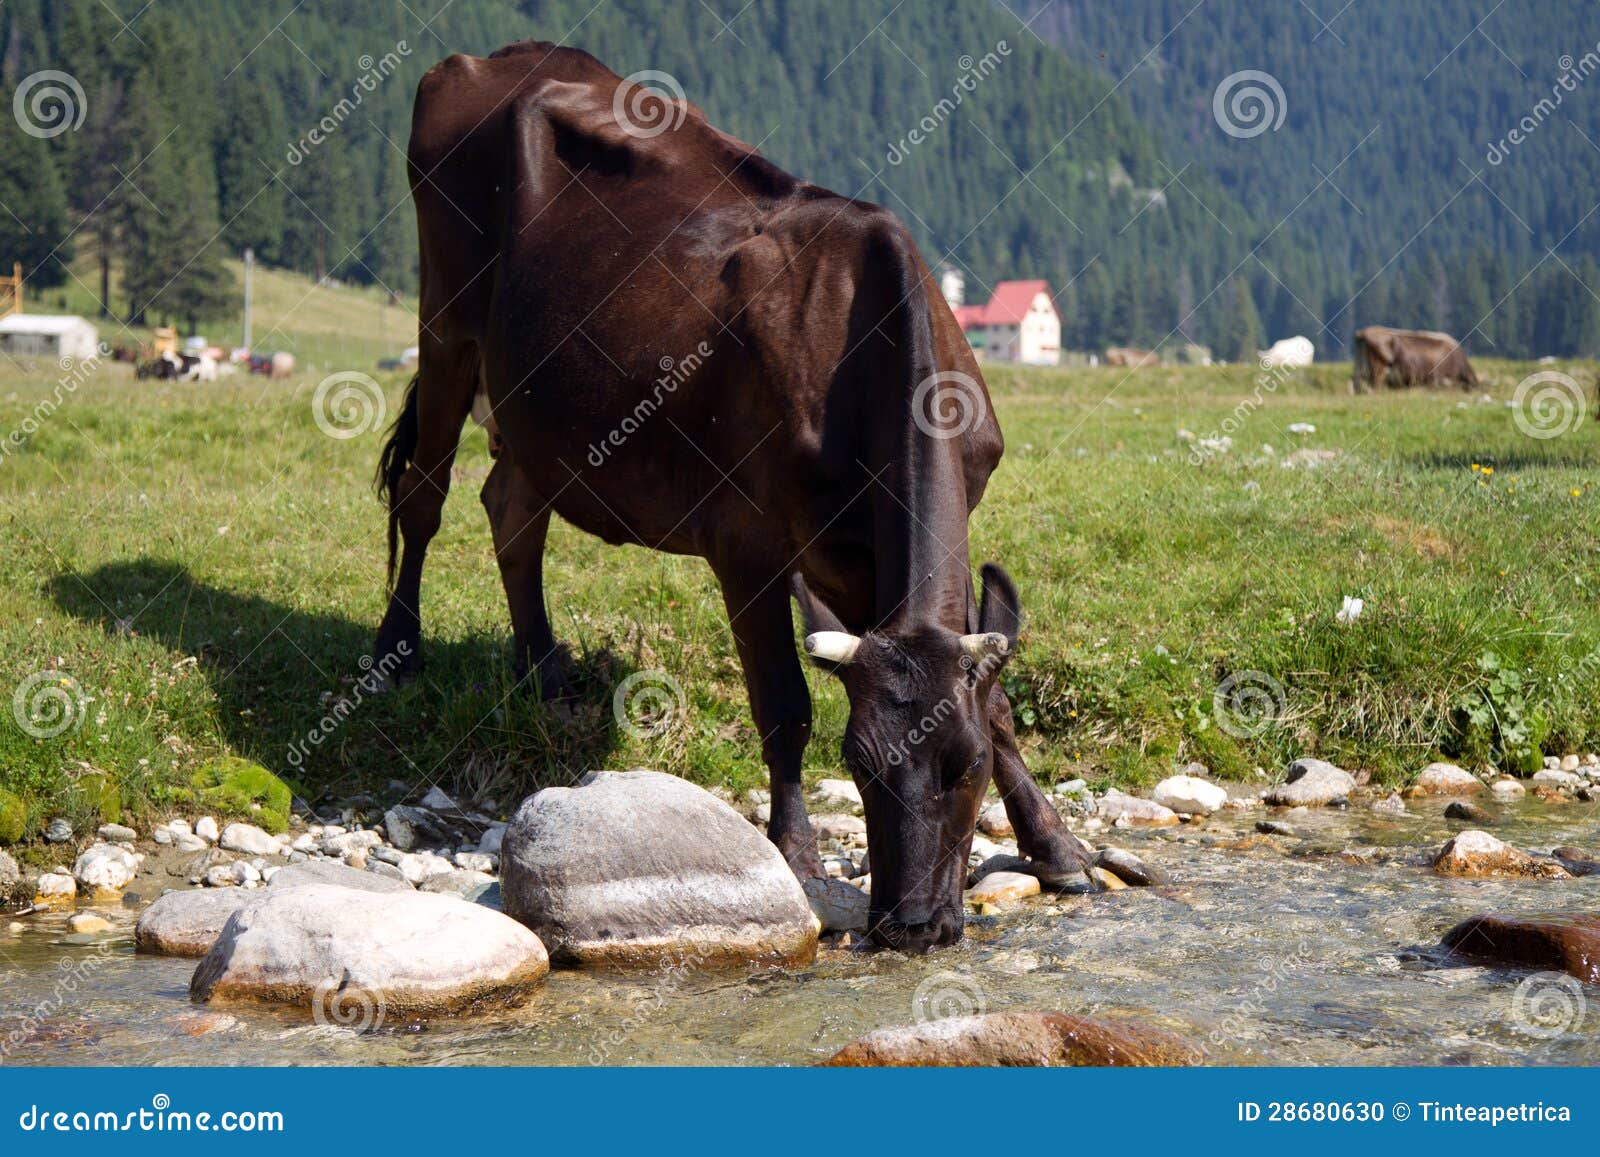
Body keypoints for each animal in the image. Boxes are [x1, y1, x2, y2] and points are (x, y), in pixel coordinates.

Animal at [374, 41, 1092, 953]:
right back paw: (397, 652)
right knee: (423, 492)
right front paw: (798, 852)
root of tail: (492, 58)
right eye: (860, 762)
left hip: (537, 400)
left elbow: (994, 700)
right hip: (445, 315)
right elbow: (784, 702)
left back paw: (544, 671)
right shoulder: (745, 540)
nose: (911, 926)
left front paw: (1057, 846)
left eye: (960, 765)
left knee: (512, 510)